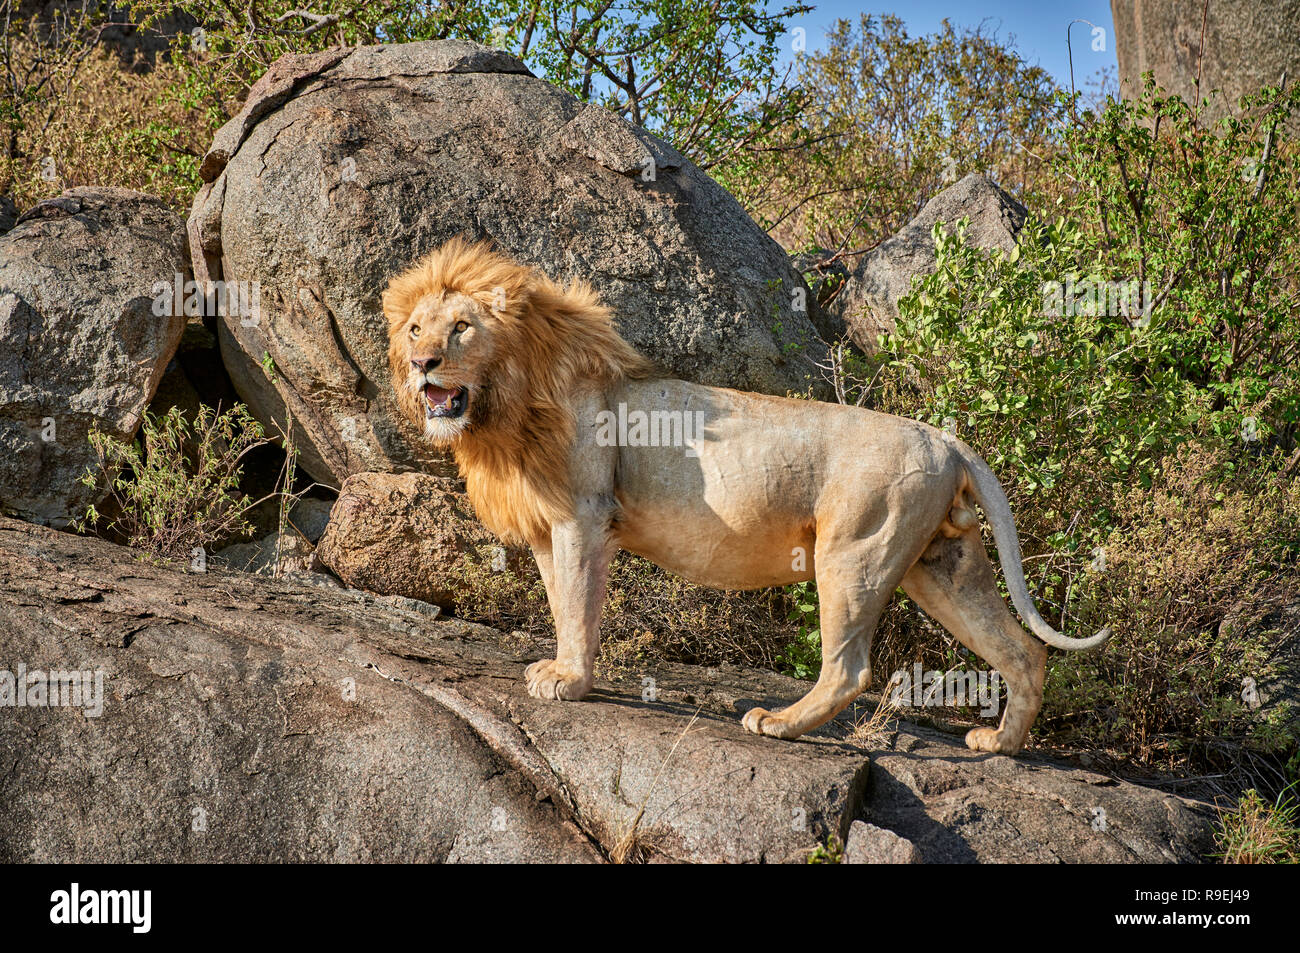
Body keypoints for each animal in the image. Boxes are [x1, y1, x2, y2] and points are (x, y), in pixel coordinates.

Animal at [383, 237, 1110, 754]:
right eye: (416, 328)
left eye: (461, 327)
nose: (421, 365)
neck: (508, 404)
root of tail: (948, 440)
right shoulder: (544, 526)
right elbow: (562, 603)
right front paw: (560, 670)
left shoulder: (583, 517)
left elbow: (580, 609)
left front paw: (570, 681)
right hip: (942, 564)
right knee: (1023, 651)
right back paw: (1000, 745)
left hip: (855, 550)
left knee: (850, 669)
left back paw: (777, 723)